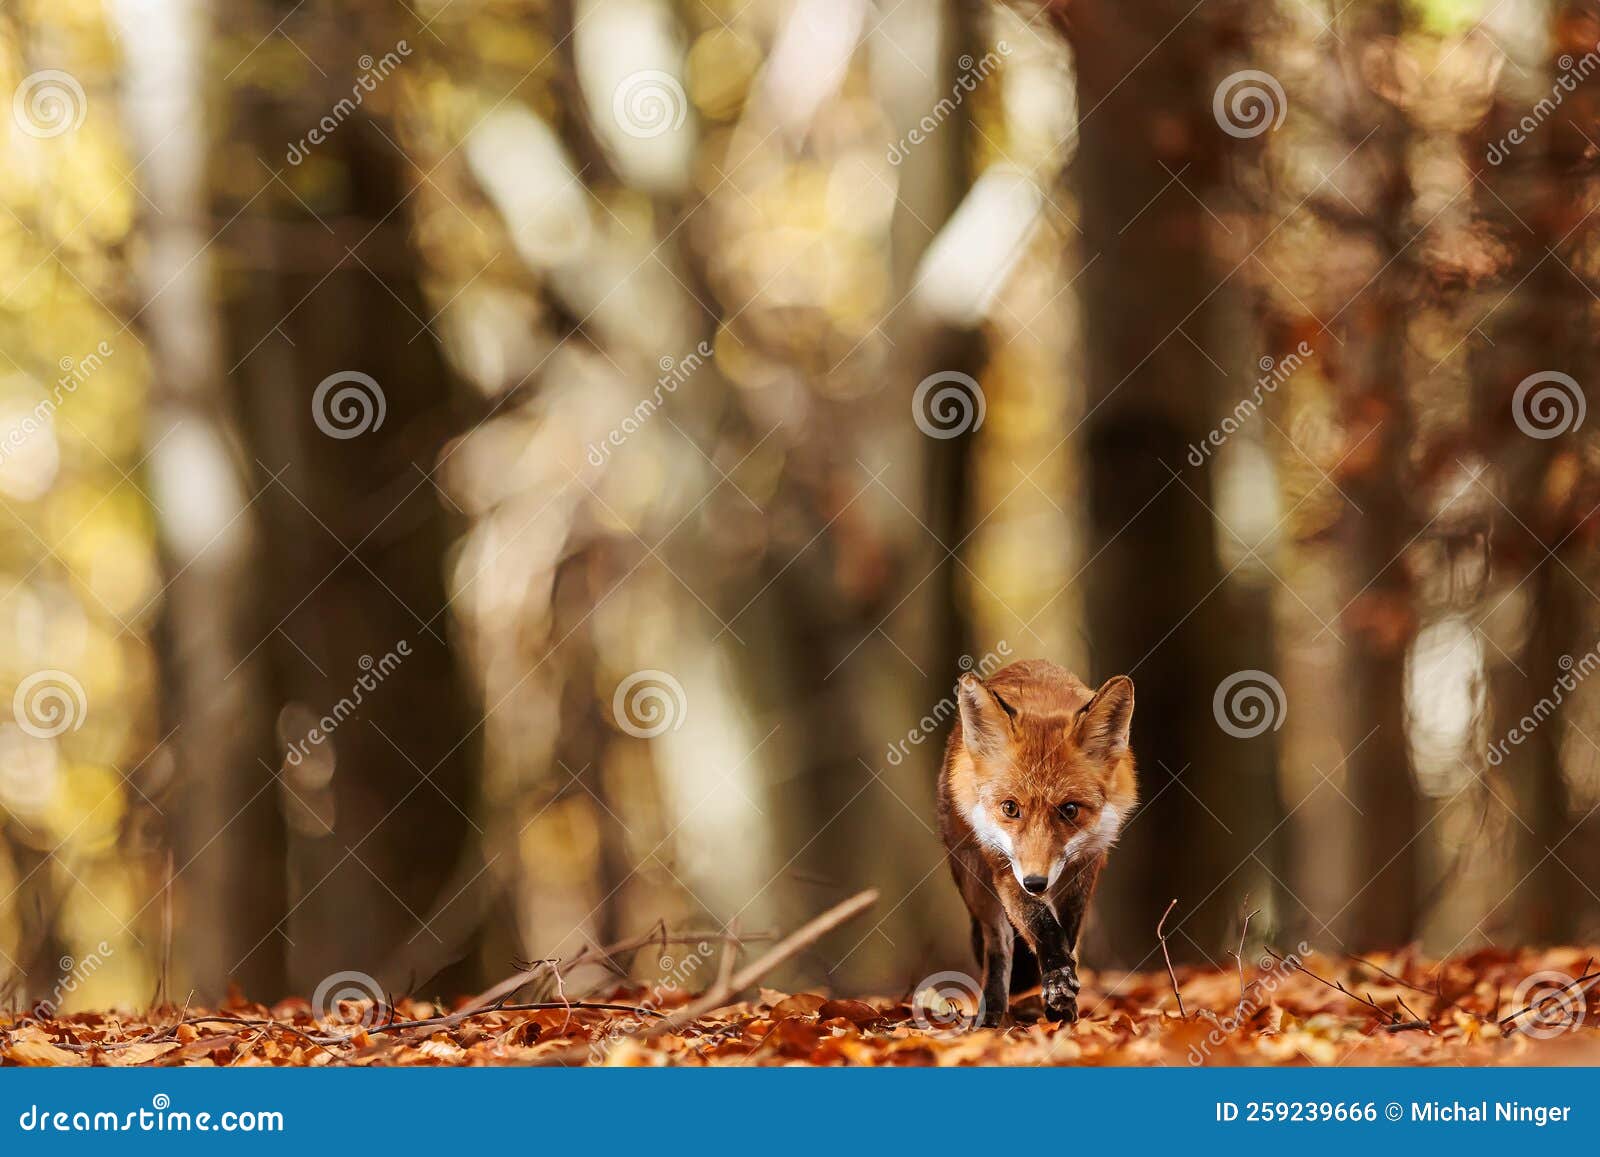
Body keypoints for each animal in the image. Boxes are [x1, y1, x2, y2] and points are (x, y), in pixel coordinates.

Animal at [937, 659, 1137, 1027]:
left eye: (1069, 810)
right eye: (1010, 808)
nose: (1035, 882)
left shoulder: (1086, 861)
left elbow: (1066, 932)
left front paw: (1062, 999)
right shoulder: (1004, 866)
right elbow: (1041, 924)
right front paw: (1057, 982)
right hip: (974, 879)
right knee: (999, 947)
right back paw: (991, 1015)